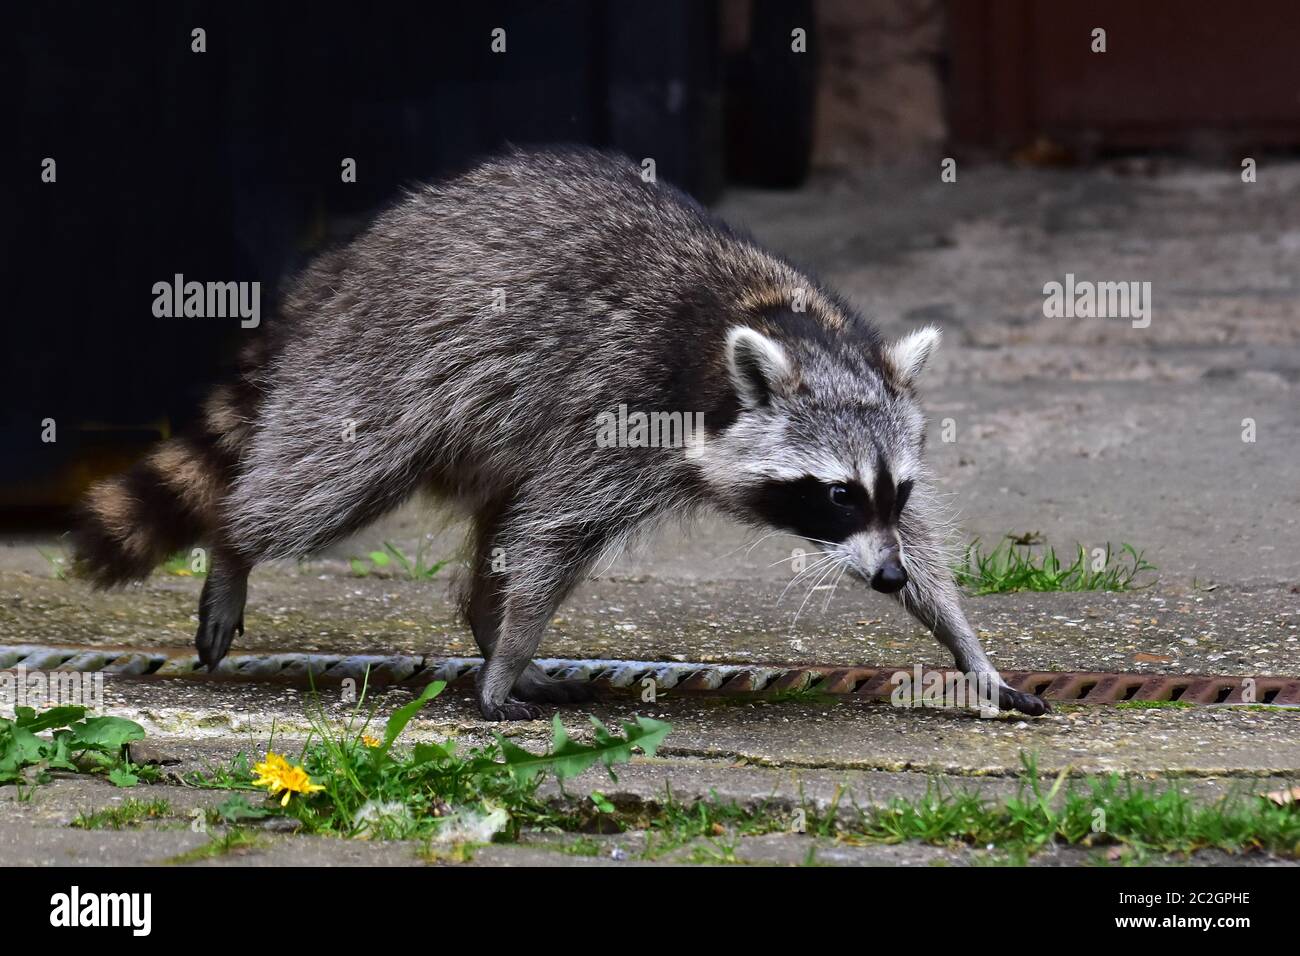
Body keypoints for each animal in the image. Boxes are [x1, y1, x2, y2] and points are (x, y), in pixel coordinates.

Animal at [73, 147, 1048, 719]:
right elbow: (556, 533)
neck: (777, 319)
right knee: (322, 488)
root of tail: (347, 261)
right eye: (836, 495)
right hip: (381, 370)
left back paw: (483, 618)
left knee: (497, 518)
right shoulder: (616, 408)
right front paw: (510, 651)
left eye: (891, 488)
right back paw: (236, 547)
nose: (884, 579)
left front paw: (964, 642)